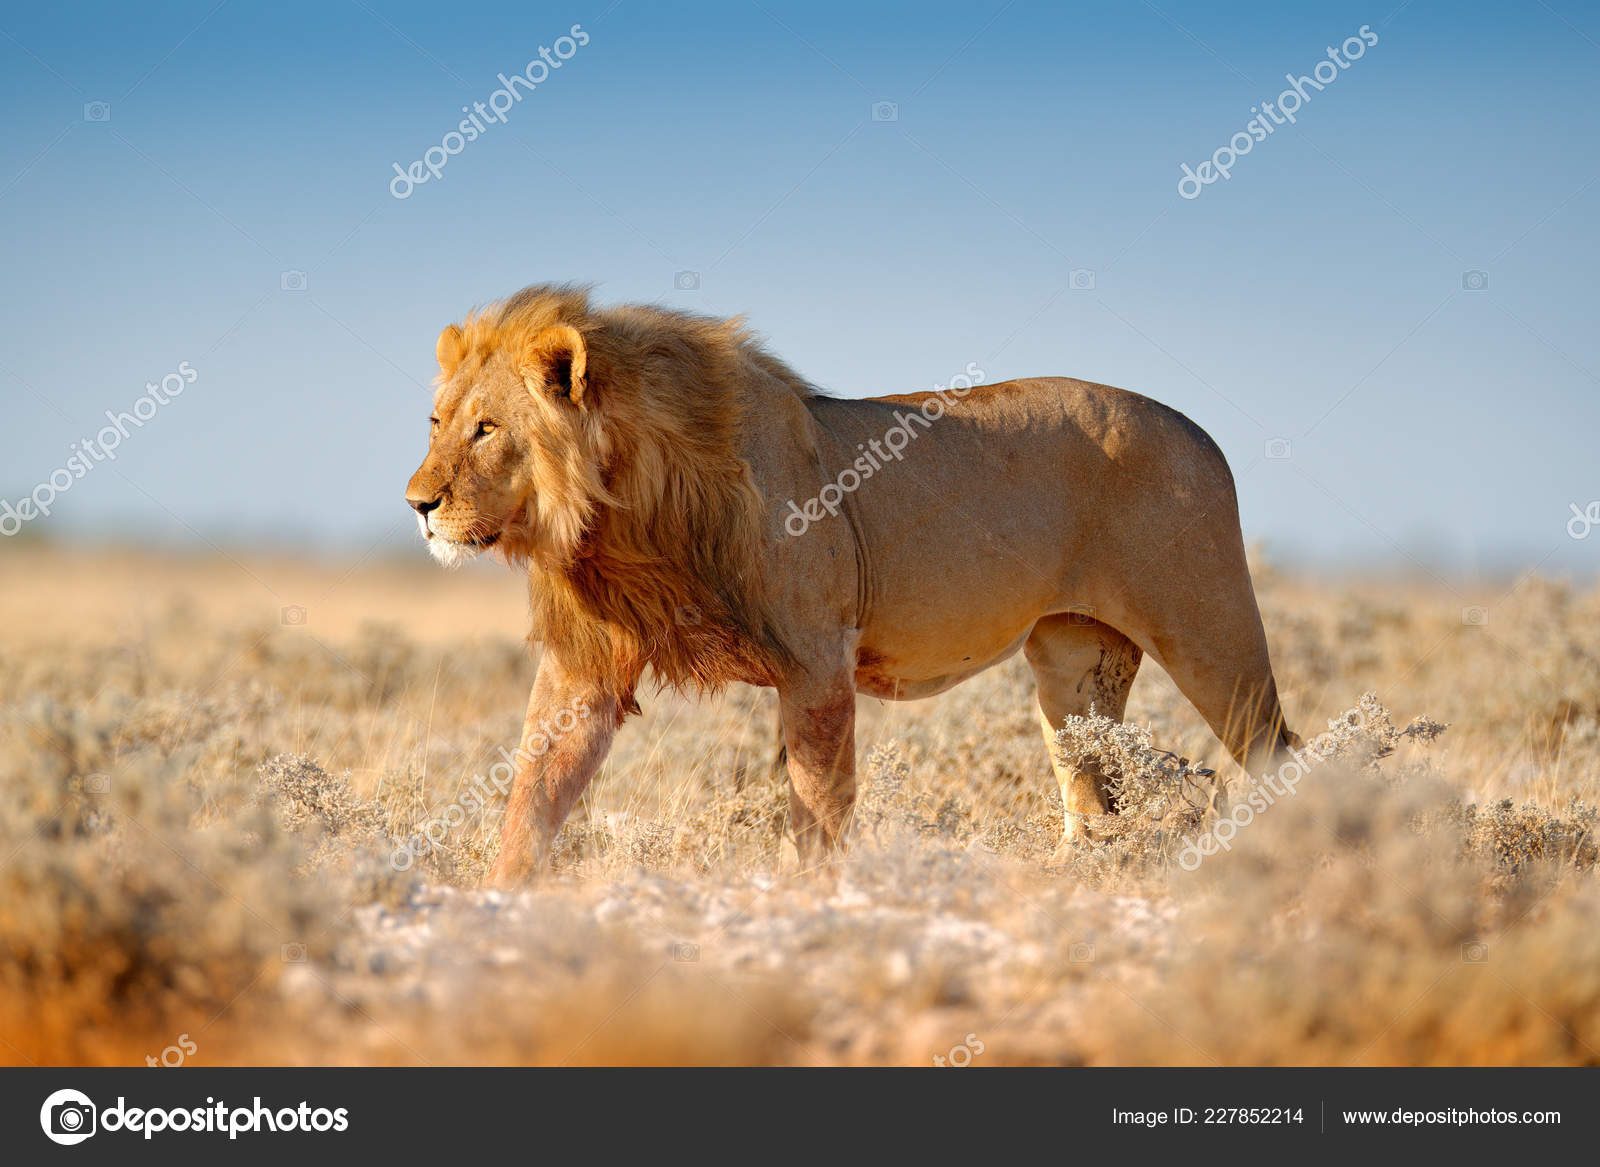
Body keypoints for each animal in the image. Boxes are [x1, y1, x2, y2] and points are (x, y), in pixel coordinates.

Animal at [405, 283, 1300, 886]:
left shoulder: (816, 661)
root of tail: (1203, 434)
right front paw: (497, 903)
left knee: (1279, 752)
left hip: (1211, 631)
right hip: (1074, 665)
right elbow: (534, 792)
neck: (618, 514)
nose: (418, 504)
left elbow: (816, 802)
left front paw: (814, 896)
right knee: (1091, 792)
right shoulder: (583, 665)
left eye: (486, 429)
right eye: (437, 423)